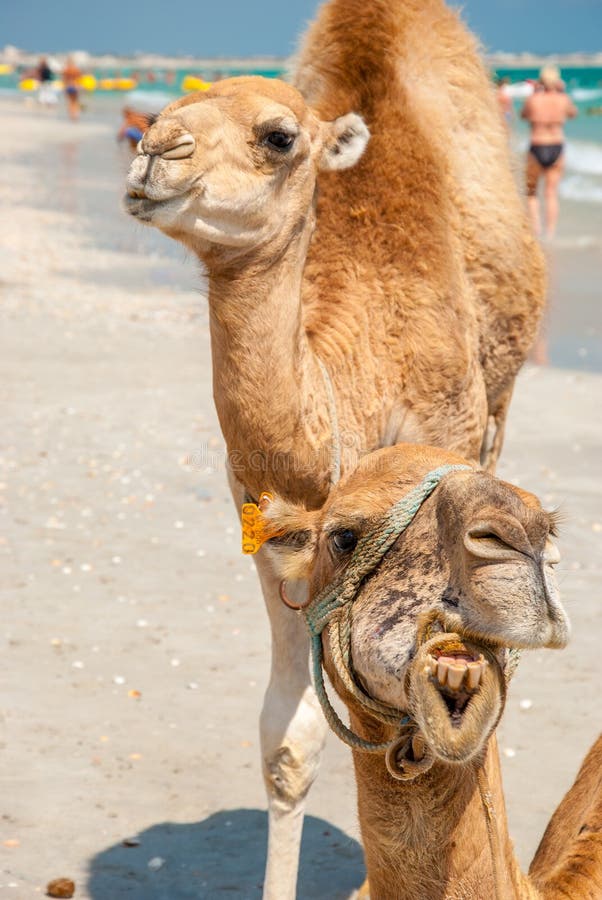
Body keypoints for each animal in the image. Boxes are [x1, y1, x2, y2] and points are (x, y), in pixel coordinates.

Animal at [123, 0, 545, 894]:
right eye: (164, 108)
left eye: (278, 136)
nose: (152, 149)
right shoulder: (275, 541)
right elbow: (288, 742)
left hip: (499, 407)